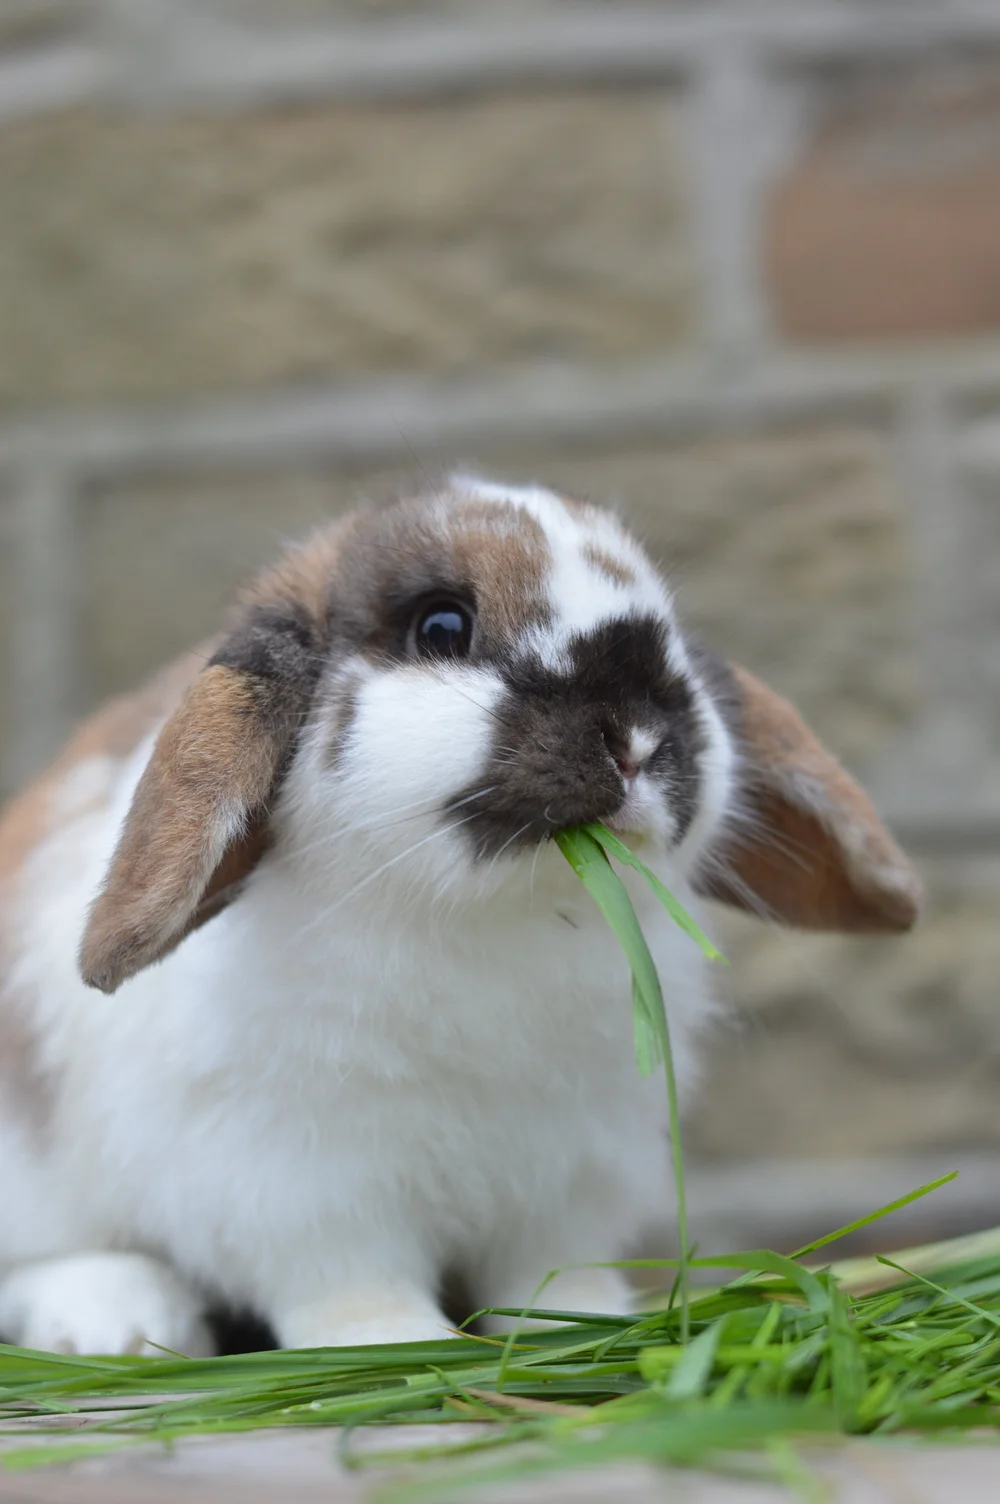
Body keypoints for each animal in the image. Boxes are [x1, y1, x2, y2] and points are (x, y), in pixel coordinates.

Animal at [0, 476, 922, 1356]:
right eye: (441, 625)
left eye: (671, 635)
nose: (637, 737)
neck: (498, 919)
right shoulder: (299, 1181)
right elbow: (347, 1276)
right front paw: (387, 1341)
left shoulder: (573, 1174)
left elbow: (555, 1269)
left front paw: (582, 1323)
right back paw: (115, 1323)